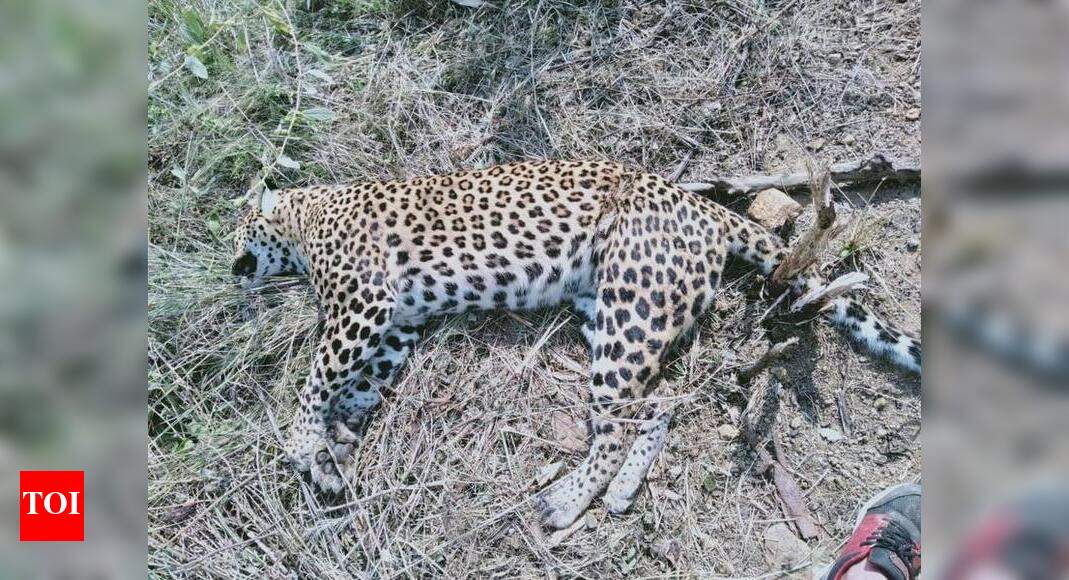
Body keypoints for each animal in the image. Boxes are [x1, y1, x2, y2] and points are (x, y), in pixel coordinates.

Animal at [230, 159, 921, 530]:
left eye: (239, 228)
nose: (228, 262)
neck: (304, 217)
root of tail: (703, 205)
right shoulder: (396, 322)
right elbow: (360, 384)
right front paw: (334, 446)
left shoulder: (363, 304)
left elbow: (321, 373)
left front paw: (303, 440)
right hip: (608, 311)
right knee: (655, 406)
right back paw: (617, 491)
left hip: (630, 311)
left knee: (616, 425)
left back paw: (563, 502)